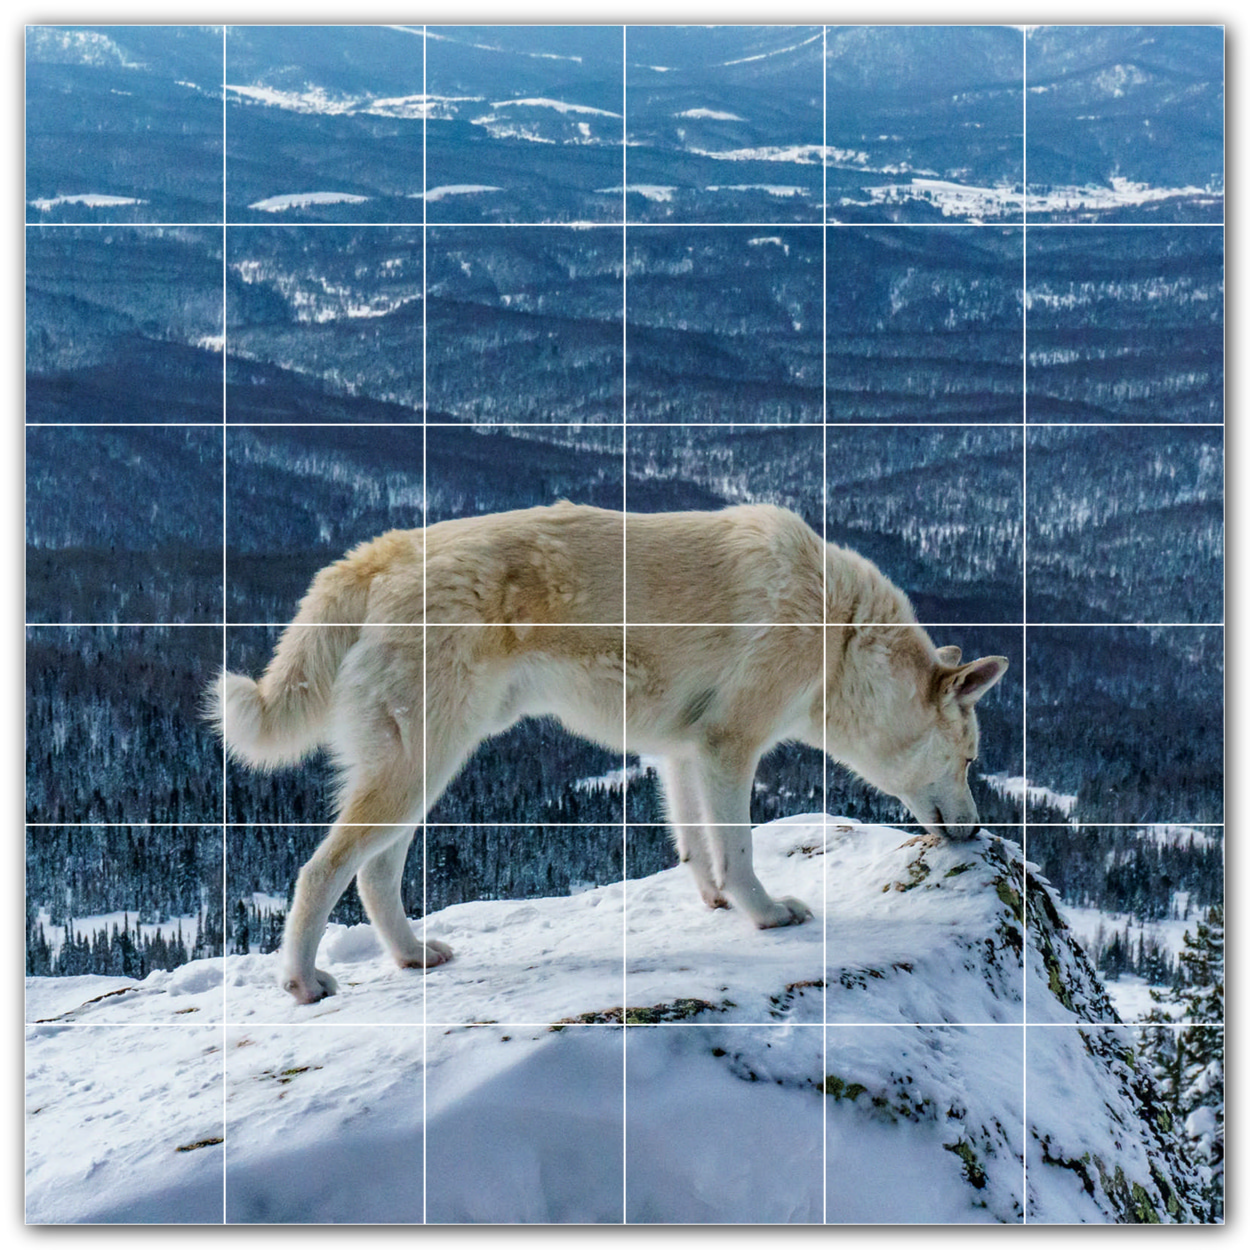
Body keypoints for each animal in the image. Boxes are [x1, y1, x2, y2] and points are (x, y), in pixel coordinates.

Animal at [212, 502, 1007, 1004]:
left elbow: (698, 849)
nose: (974, 830)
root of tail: (382, 554)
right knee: (319, 873)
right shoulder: (729, 748)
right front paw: (764, 915)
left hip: (424, 774)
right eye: (971, 760)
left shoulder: (683, 754)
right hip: (419, 771)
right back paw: (302, 984)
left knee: (375, 875)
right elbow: (739, 850)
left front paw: (718, 904)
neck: (839, 633)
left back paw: (412, 956)